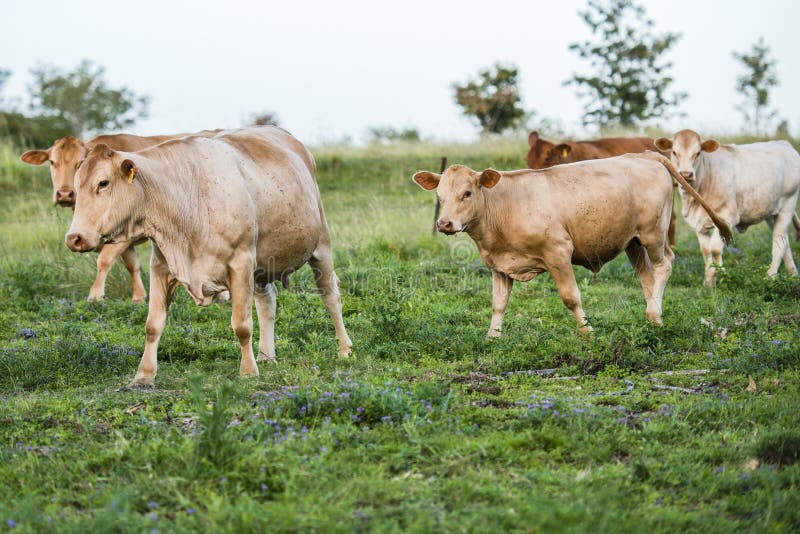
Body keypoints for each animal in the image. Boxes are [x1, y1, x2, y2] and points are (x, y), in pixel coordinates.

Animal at [20, 131, 219, 302]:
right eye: (52, 162)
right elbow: (132, 264)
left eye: (80, 162)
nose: (64, 194)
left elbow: (104, 260)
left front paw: (95, 295)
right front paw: (139, 296)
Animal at [65, 126, 352, 386]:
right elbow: (153, 325)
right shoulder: (161, 265)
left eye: (103, 183)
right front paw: (144, 375)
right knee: (267, 302)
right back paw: (266, 355)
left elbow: (242, 325)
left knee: (330, 295)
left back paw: (344, 348)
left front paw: (248, 371)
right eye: (76, 187)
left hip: (321, 244)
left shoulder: (241, 263)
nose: (74, 238)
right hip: (263, 261)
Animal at [413, 153, 732, 335]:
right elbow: (498, 304)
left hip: (653, 233)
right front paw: (493, 337)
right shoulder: (499, 267)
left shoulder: (558, 253)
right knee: (647, 275)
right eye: (440, 195)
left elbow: (570, 298)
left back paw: (653, 313)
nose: (444, 224)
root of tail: (644, 155)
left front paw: (587, 332)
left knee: (665, 264)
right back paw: (654, 318)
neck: (502, 207)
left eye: (467, 193)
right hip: (633, 242)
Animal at [655, 130, 800, 286]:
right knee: (784, 241)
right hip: (771, 212)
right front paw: (708, 283)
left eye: (698, 153)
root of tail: (783, 144)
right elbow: (705, 251)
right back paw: (793, 275)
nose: (686, 174)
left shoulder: (727, 218)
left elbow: (715, 249)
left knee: (779, 242)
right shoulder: (698, 224)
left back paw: (770, 277)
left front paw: (721, 274)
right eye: (674, 152)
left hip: (788, 204)